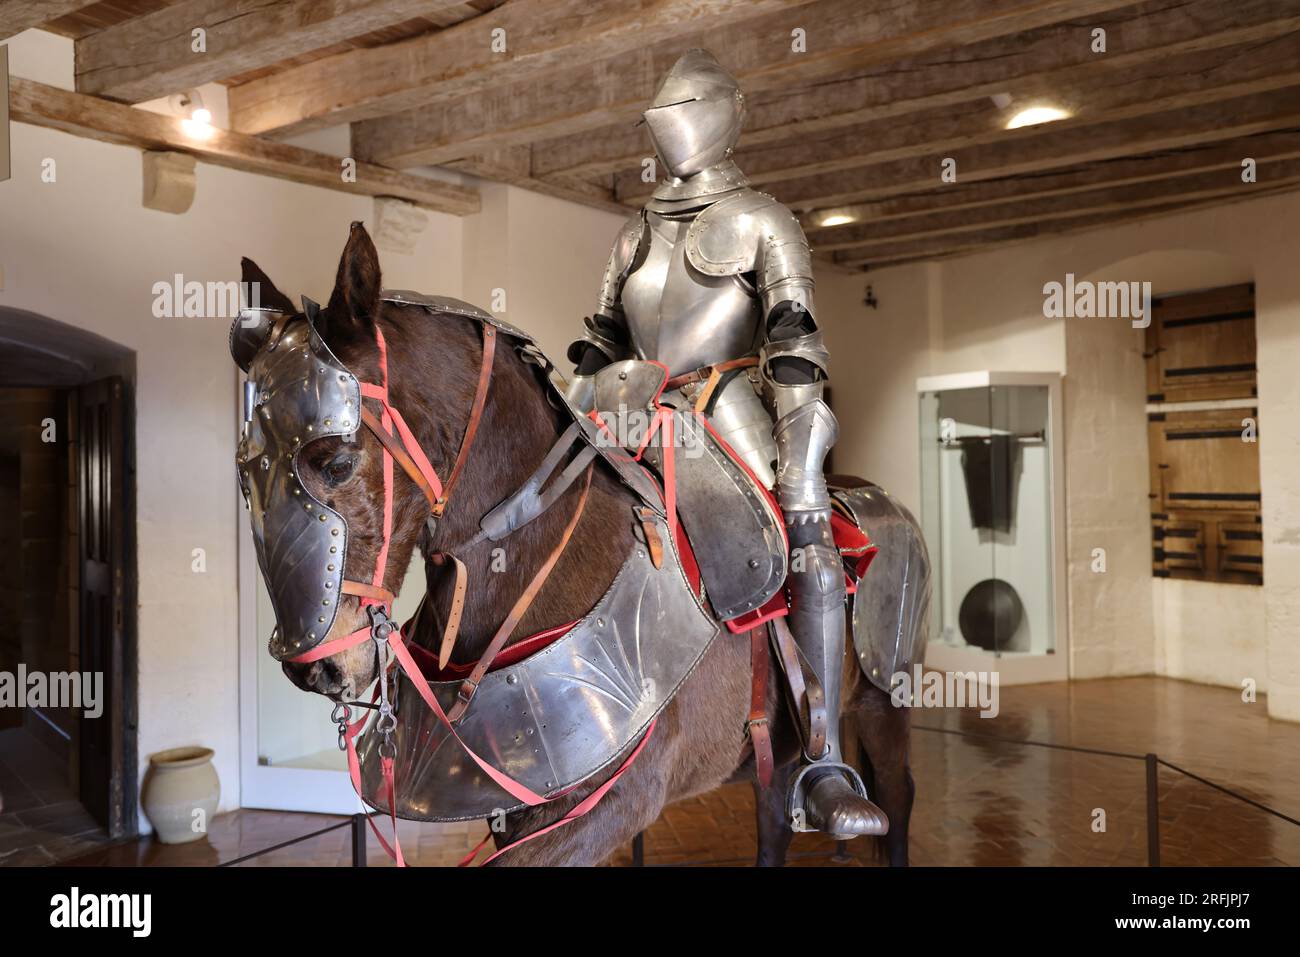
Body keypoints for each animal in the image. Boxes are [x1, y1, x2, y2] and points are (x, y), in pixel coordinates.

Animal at [239, 226, 920, 868]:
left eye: (335, 462)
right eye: (247, 476)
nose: (314, 669)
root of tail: (876, 495)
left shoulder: (610, 808)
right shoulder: (520, 806)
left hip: (885, 700)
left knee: (896, 792)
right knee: (776, 817)